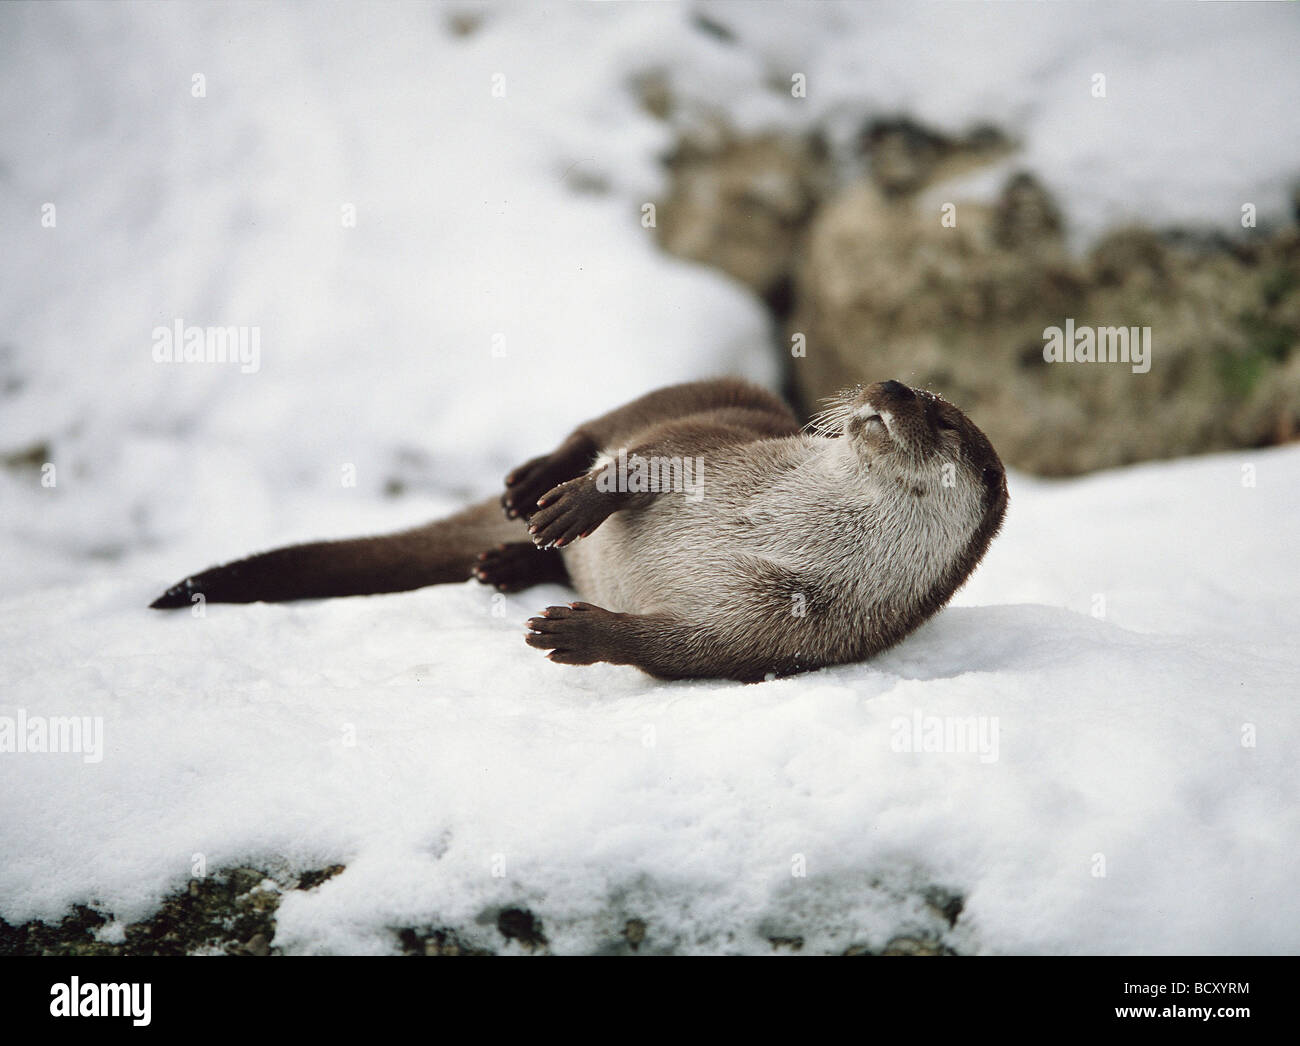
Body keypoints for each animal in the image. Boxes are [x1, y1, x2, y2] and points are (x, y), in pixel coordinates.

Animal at [150, 379, 1008, 682]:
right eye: (904, 382)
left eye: (940, 415)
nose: (887, 386)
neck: (767, 524)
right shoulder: (723, 446)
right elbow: (648, 457)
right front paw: (578, 502)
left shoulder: (787, 633)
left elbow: (683, 652)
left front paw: (581, 633)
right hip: (710, 389)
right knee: (598, 425)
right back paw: (534, 488)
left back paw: (505, 563)